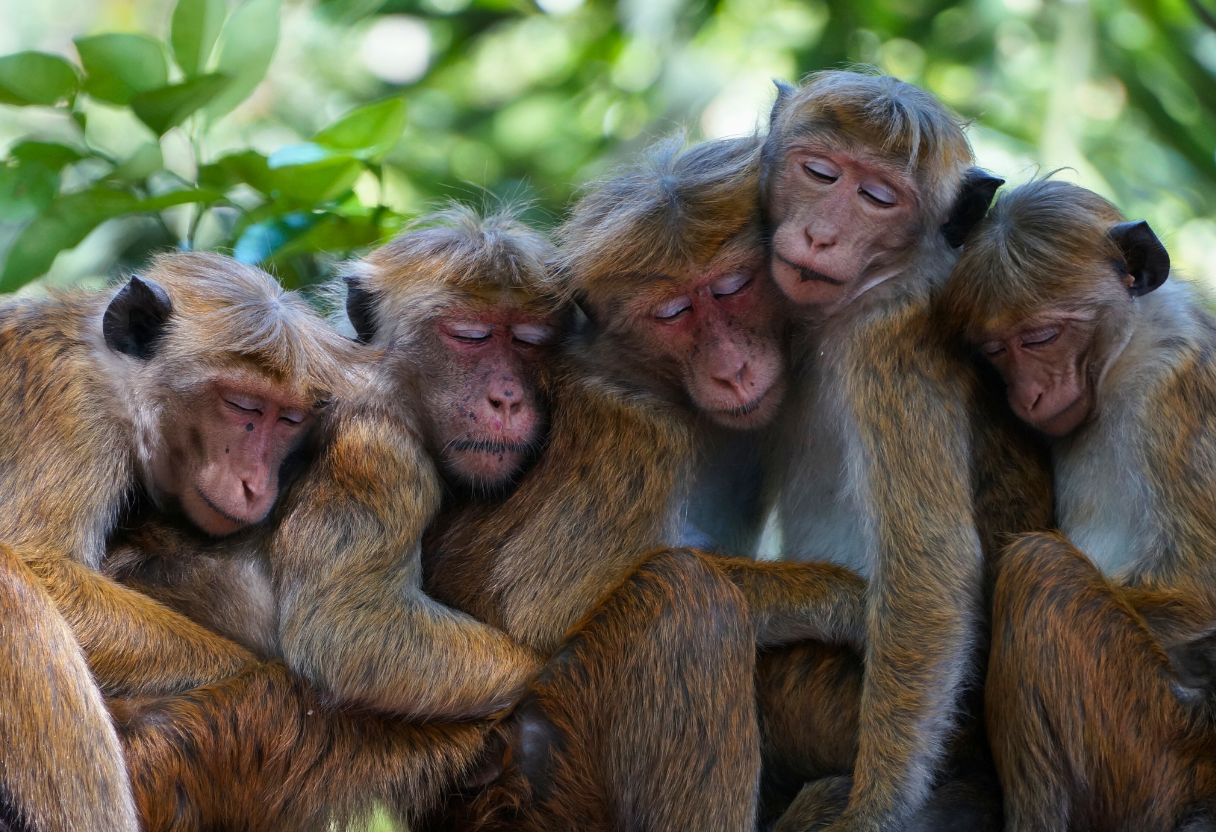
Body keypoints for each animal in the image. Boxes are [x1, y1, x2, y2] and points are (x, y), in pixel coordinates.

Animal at [0, 250, 364, 832]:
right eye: (242, 406)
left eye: (289, 418)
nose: (254, 484)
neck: (112, 379)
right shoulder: (68, 409)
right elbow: (40, 560)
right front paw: (247, 669)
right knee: (10, 582)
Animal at [758, 70, 1054, 831]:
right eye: (821, 172)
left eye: (878, 198)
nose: (822, 235)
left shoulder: (892, 343)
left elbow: (931, 564)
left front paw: (875, 813)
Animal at [940, 177, 1216, 832]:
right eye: (995, 350)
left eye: (1041, 338)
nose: (1029, 395)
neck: (1123, 360)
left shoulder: (1177, 388)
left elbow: (1194, 594)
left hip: (1159, 750)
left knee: (1038, 569)